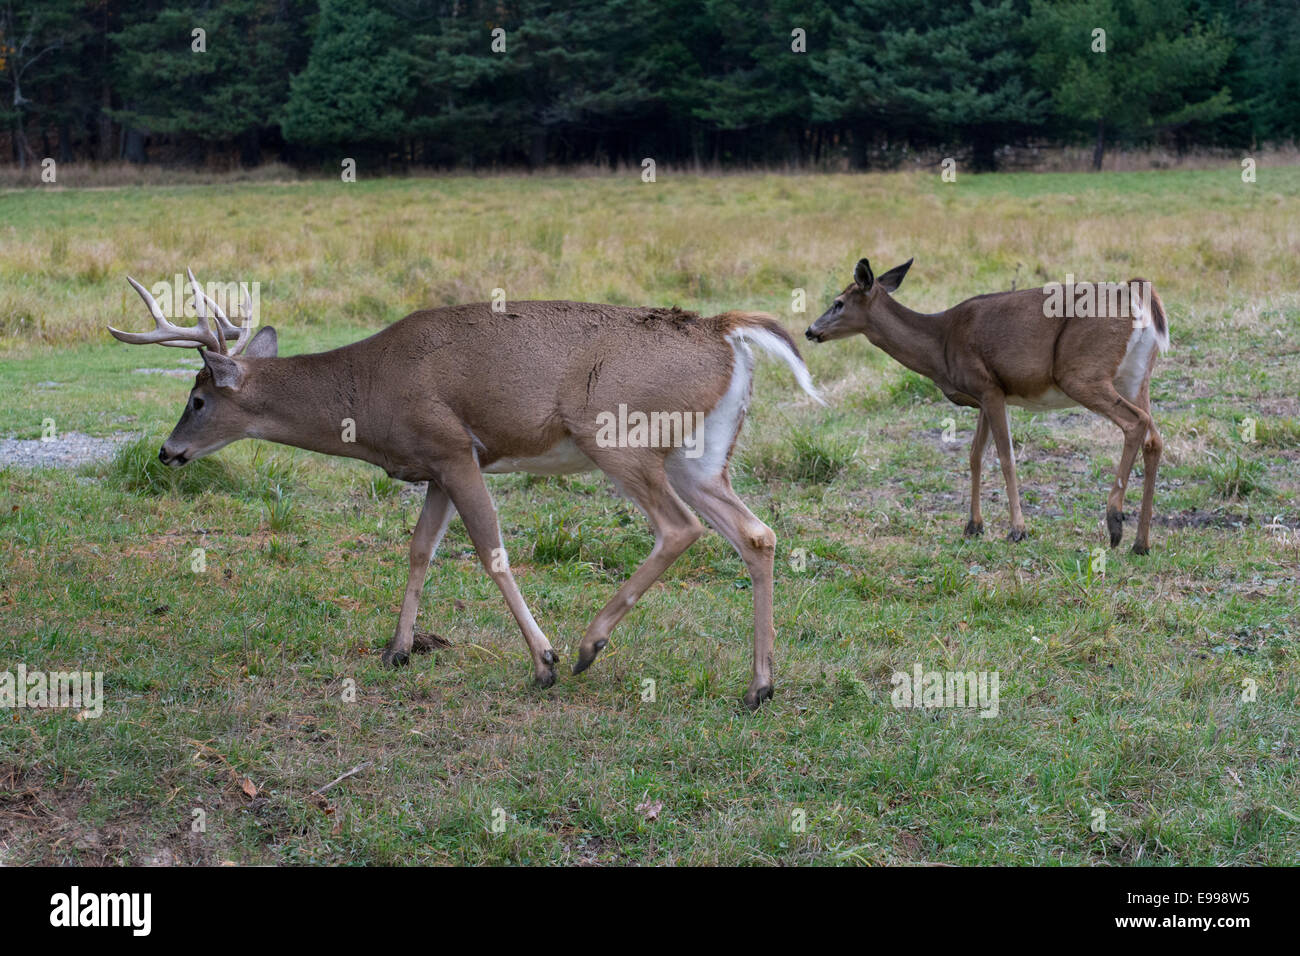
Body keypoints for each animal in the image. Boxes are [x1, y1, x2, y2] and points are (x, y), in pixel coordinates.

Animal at [108, 269, 823, 710]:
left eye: (197, 400)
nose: (168, 452)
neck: (367, 396)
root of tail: (725, 331)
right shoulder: (435, 469)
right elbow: (420, 550)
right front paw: (398, 650)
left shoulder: (454, 447)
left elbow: (489, 550)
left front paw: (543, 661)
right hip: (699, 458)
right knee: (757, 533)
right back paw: (758, 687)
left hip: (617, 434)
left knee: (680, 528)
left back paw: (588, 646)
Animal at [805, 257, 1168, 553]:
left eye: (838, 303)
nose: (810, 330)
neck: (940, 343)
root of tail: (1135, 294)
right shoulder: (984, 396)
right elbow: (975, 456)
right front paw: (973, 525)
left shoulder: (990, 387)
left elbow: (1006, 457)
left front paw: (1017, 529)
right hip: (1136, 377)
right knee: (1154, 438)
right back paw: (1141, 543)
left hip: (1081, 374)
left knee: (1135, 422)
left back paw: (1115, 522)